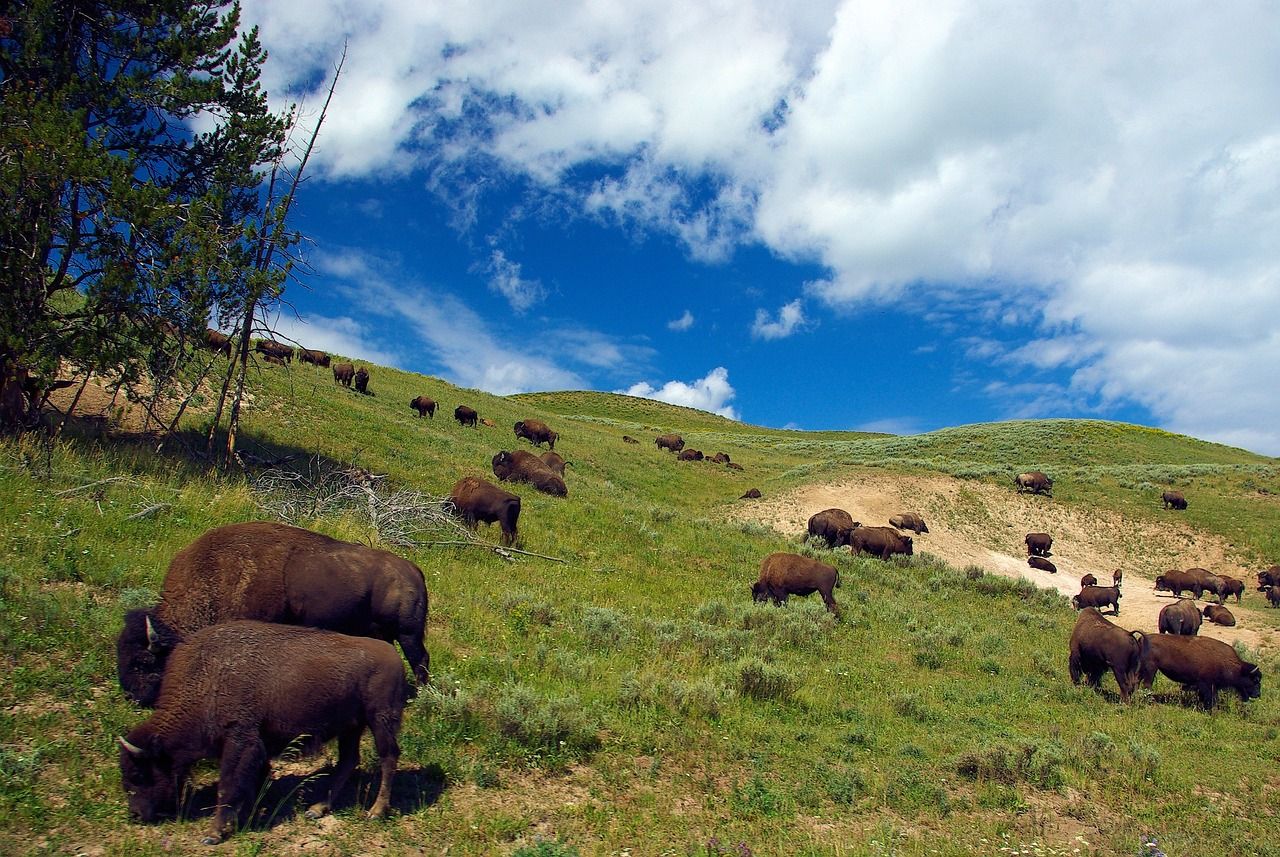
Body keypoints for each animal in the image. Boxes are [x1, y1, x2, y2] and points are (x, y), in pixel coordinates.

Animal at [115, 522, 430, 708]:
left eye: (144, 661)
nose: (131, 696)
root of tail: (413, 570)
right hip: (383, 635)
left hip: (408, 634)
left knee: (420, 659)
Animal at [118, 622, 406, 844]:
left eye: (139, 774)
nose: (135, 815)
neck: (206, 679)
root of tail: (393, 655)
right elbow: (252, 780)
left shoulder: (239, 740)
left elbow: (227, 786)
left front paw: (213, 834)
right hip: (351, 726)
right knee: (348, 760)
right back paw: (318, 808)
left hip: (380, 720)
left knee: (388, 758)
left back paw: (376, 811)